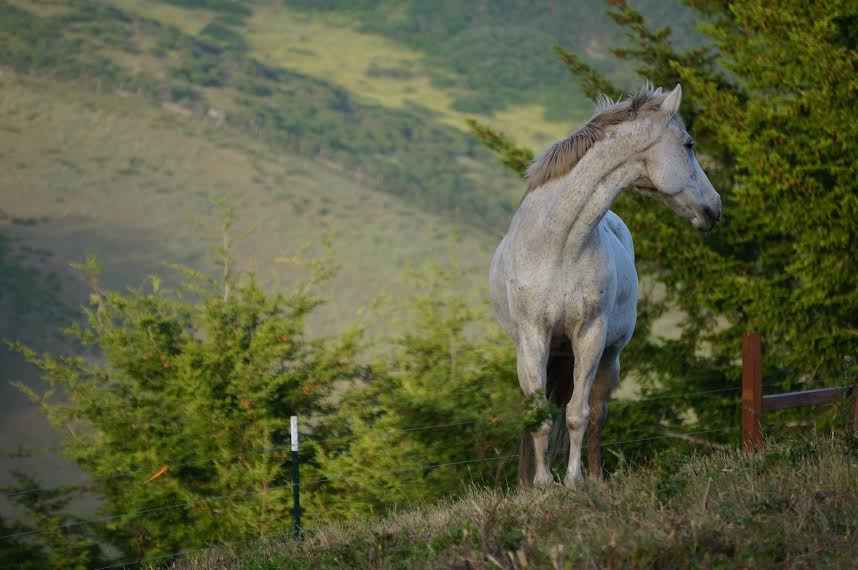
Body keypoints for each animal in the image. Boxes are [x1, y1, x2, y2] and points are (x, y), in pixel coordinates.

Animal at [489, 84, 721, 486]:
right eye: (689, 144)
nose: (715, 208)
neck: (558, 245)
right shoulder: (535, 337)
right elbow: (540, 416)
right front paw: (542, 484)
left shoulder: (589, 335)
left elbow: (577, 413)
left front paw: (574, 481)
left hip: (609, 357)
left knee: (598, 413)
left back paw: (596, 477)